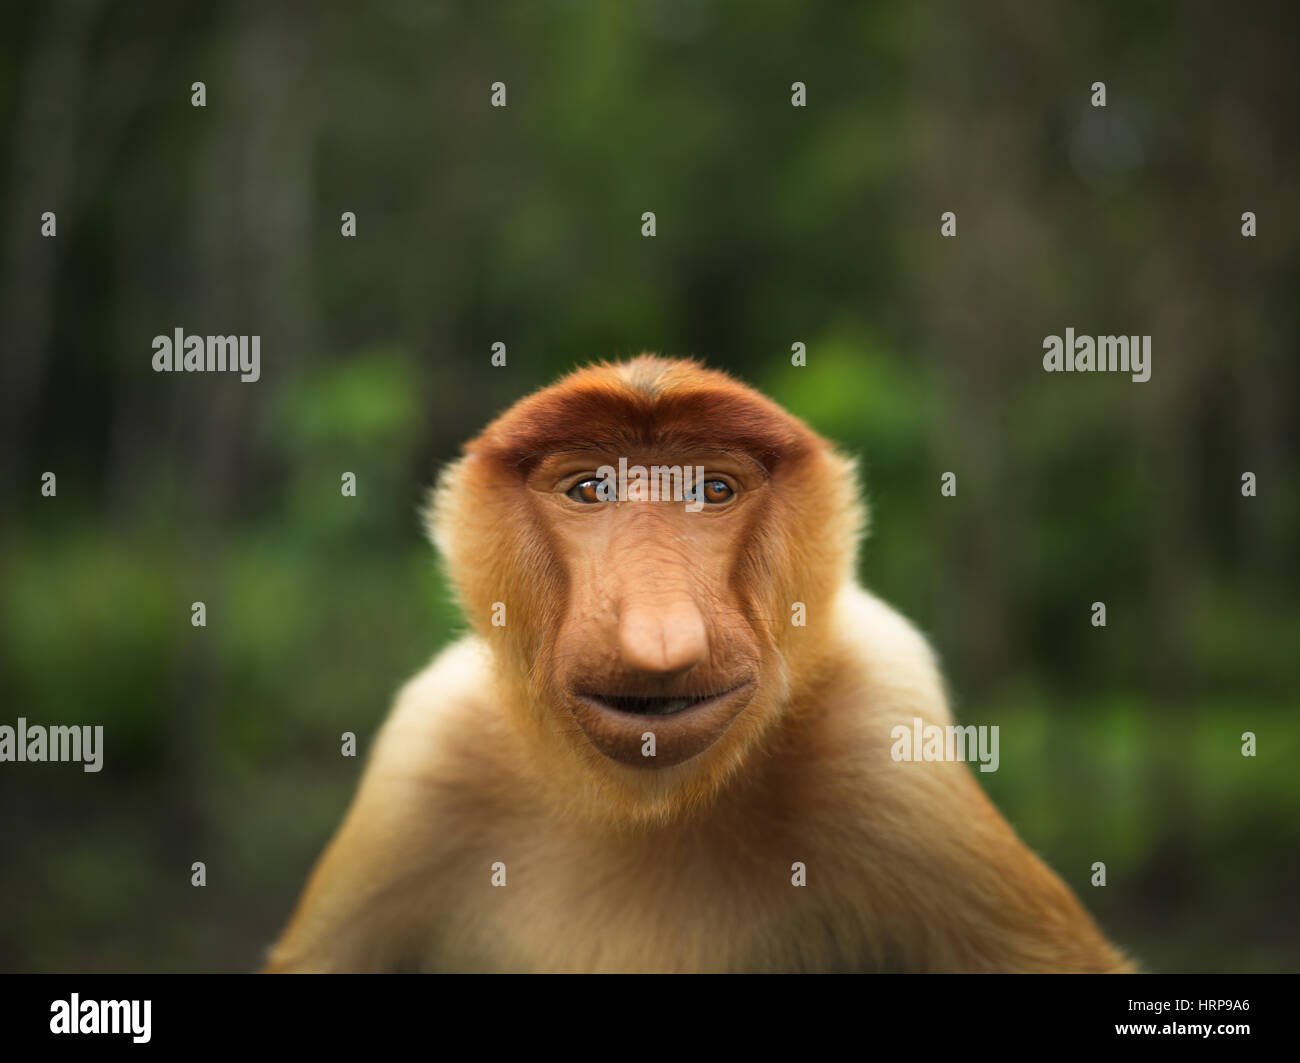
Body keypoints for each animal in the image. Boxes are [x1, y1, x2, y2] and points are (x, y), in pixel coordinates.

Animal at [266, 354, 1133, 973]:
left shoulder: (888, 746)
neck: (652, 810)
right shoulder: (425, 763)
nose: (660, 639)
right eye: (590, 488)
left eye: (714, 488)